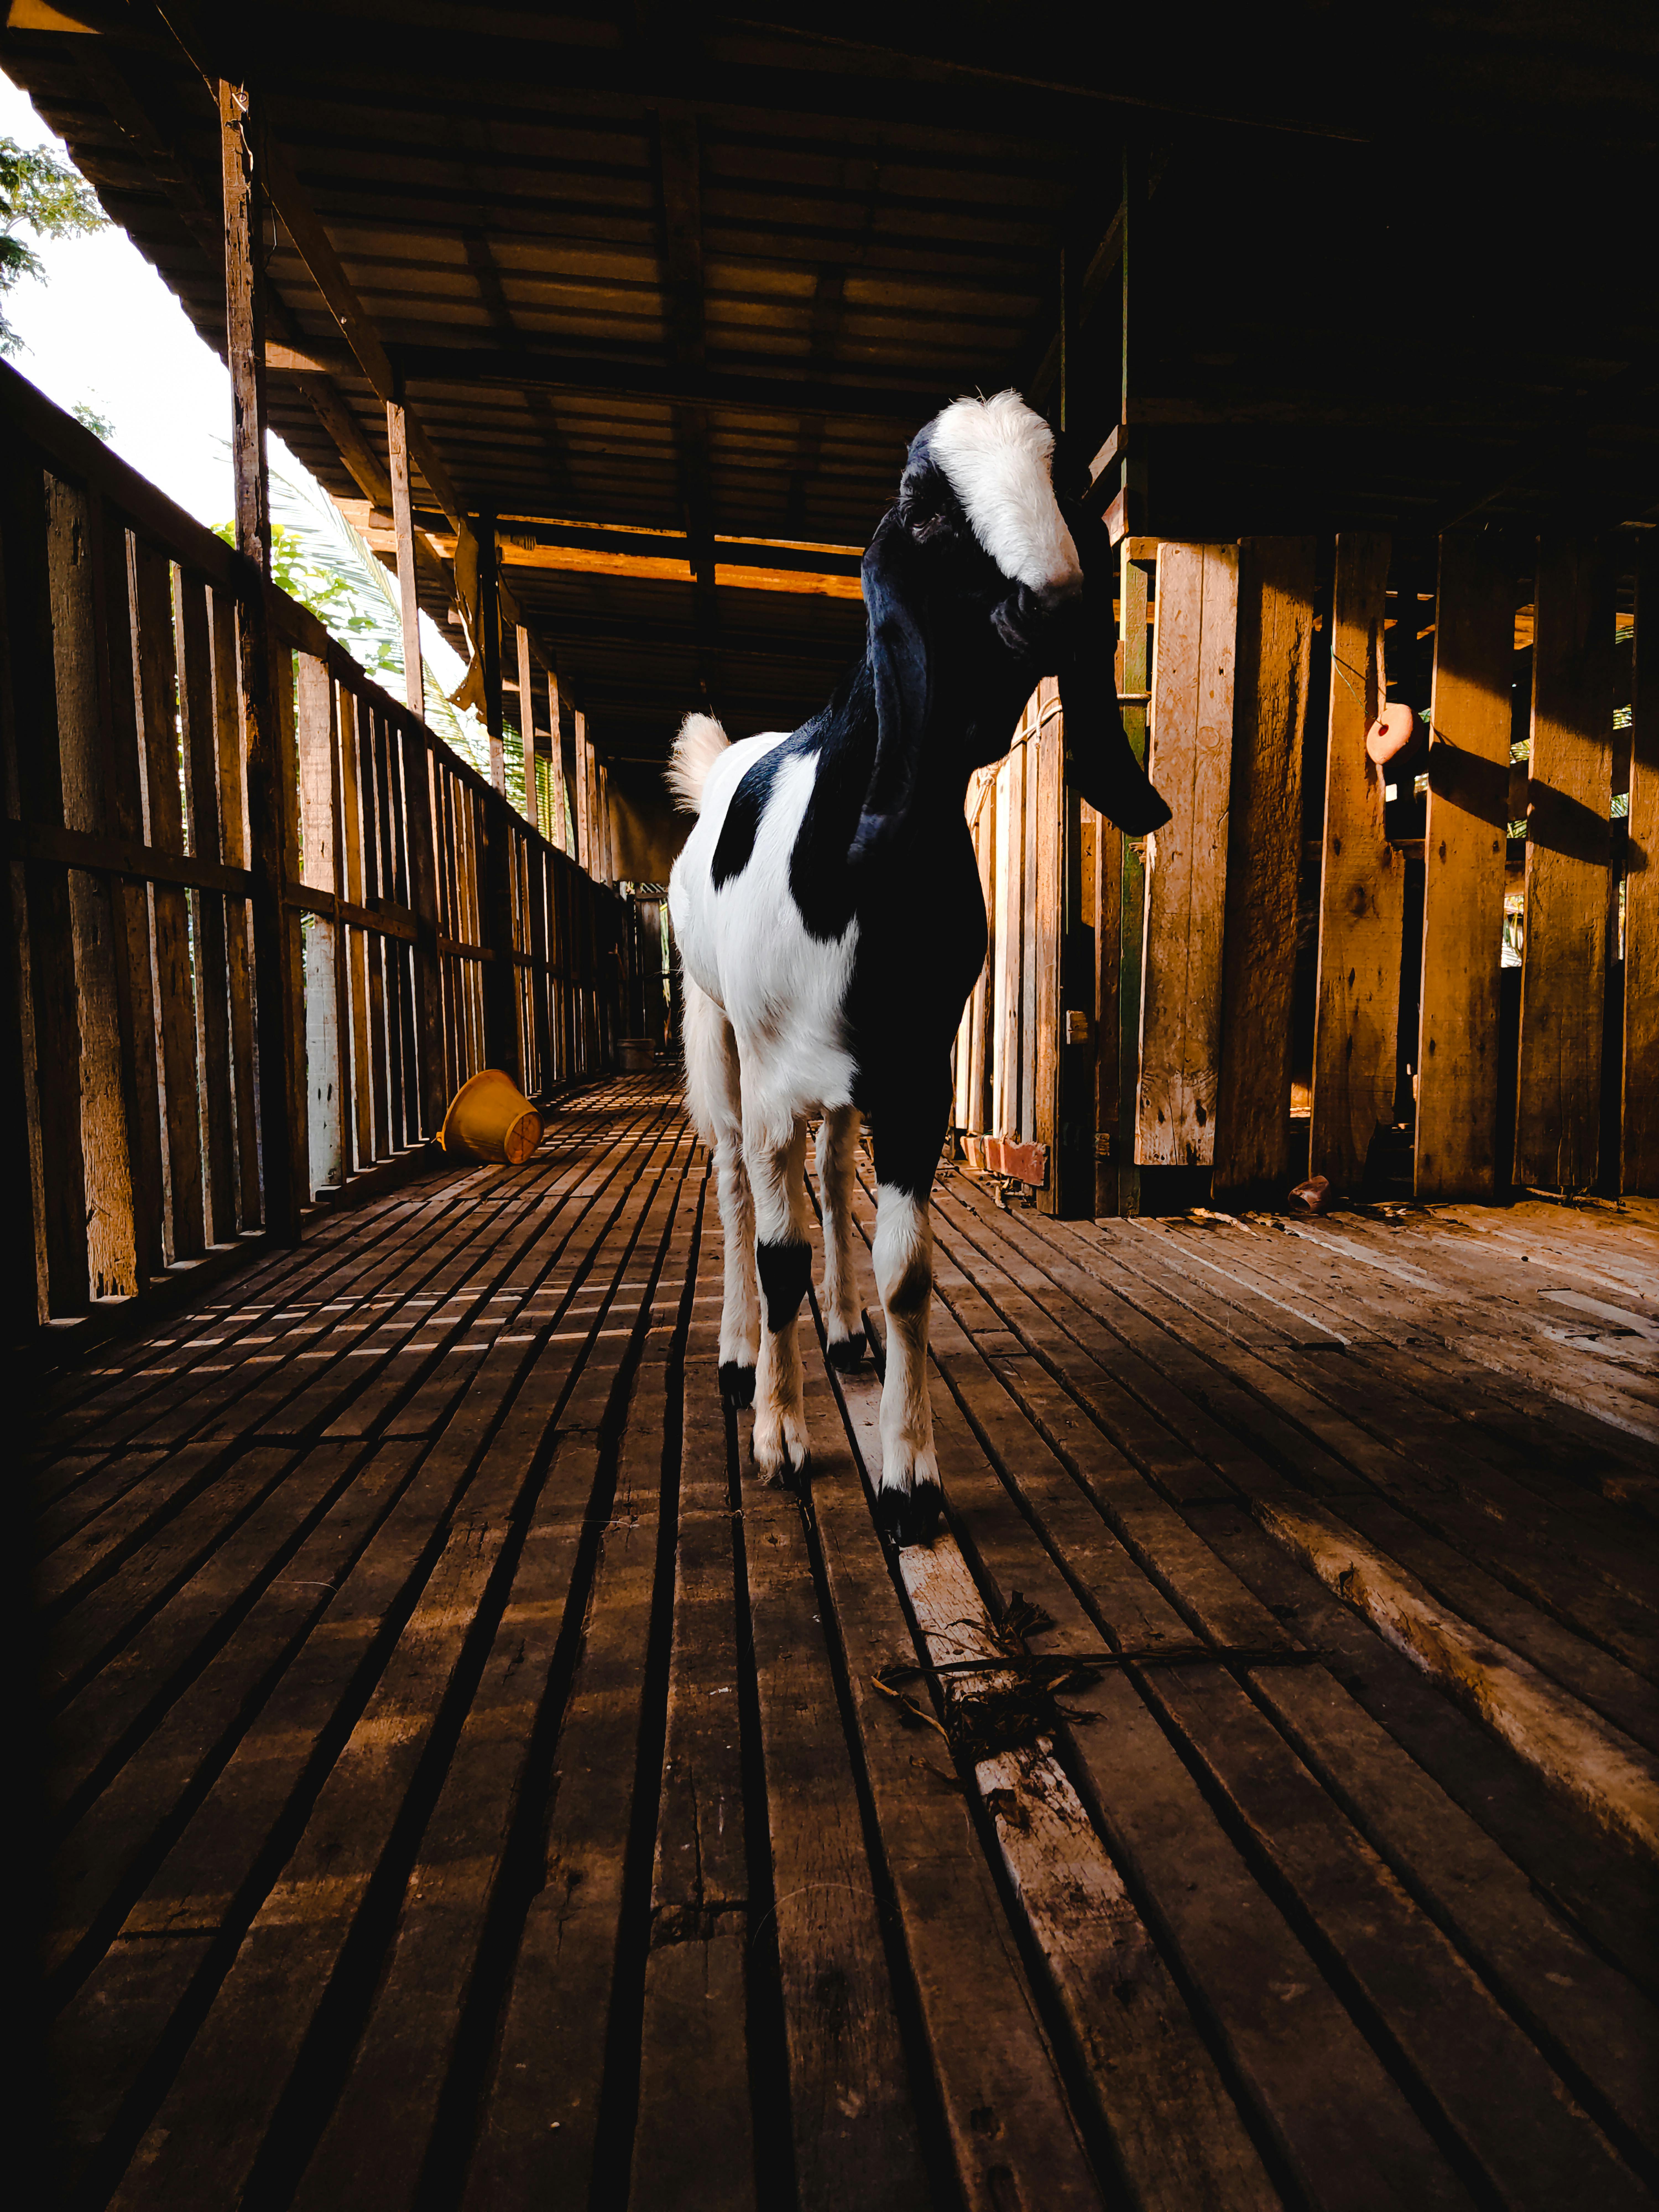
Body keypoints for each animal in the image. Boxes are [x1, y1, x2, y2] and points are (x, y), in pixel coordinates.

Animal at [666, 390, 1169, 1544]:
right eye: (927, 506)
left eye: (1066, 481)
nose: (1054, 603)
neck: (857, 867)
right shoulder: (773, 1077)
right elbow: (780, 1258)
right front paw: (782, 1439)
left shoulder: (916, 1074)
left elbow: (908, 1272)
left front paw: (910, 1479)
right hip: (716, 1030)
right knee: (733, 1182)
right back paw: (737, 1356)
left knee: (827, 1175)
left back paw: (845, 1332)